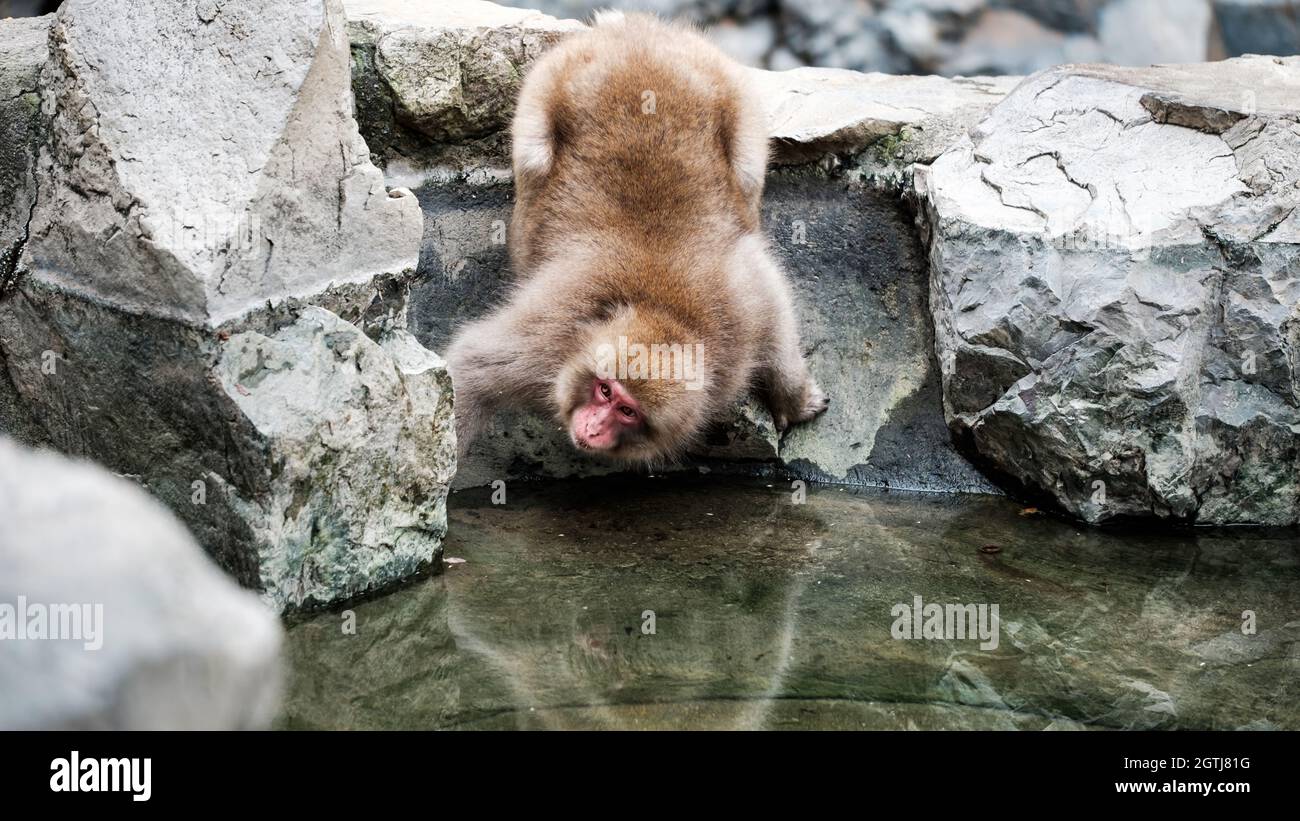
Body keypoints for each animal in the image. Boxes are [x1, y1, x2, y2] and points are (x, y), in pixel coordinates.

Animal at [446, 11, 828, 466]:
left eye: (627, 410)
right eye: (604, 390)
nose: (592, 428)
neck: (665, 313)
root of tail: (639, 33)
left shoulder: (744, 312)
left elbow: (775, 308)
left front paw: (794, 399)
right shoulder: (543, 346)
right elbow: (471, 371)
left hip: (733, 92)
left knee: (749, 168)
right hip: (547, 84)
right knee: (534, 157)